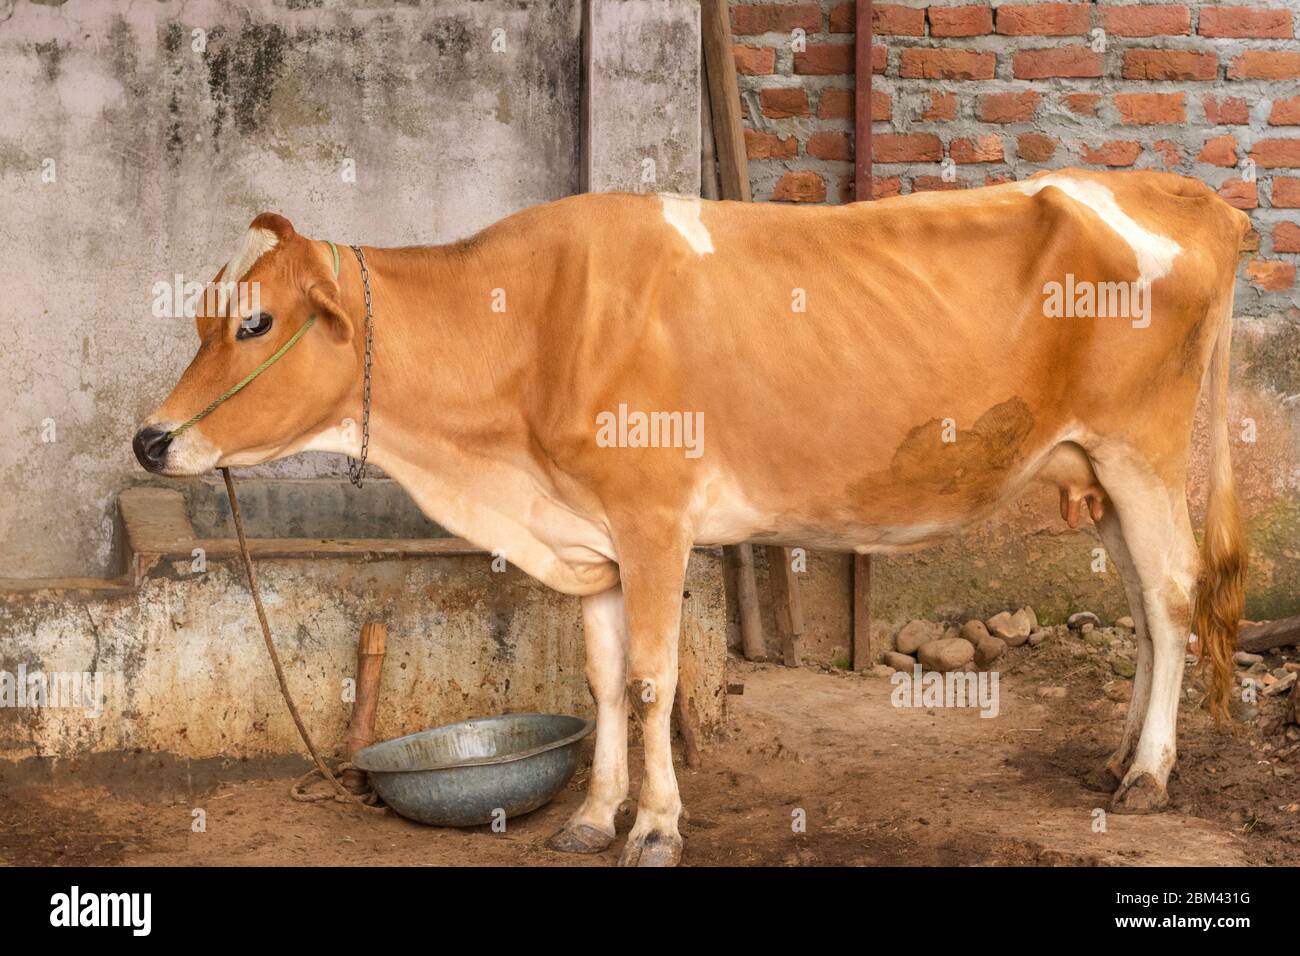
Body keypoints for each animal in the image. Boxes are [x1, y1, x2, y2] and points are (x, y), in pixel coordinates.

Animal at [134, 168, 1248, 866]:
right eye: (202, 315)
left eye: (255, 322)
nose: (150, 440)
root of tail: (1187, 193)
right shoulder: (586, 538)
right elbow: (598, 679)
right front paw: (593, 818)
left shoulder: (653, 520)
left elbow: (649, 680)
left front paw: (657, 827)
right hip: (1094, 469)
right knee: (1146, 609)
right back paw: (1119, 756)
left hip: (1142, 453)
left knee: (1172, 596)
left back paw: (1150, 773)